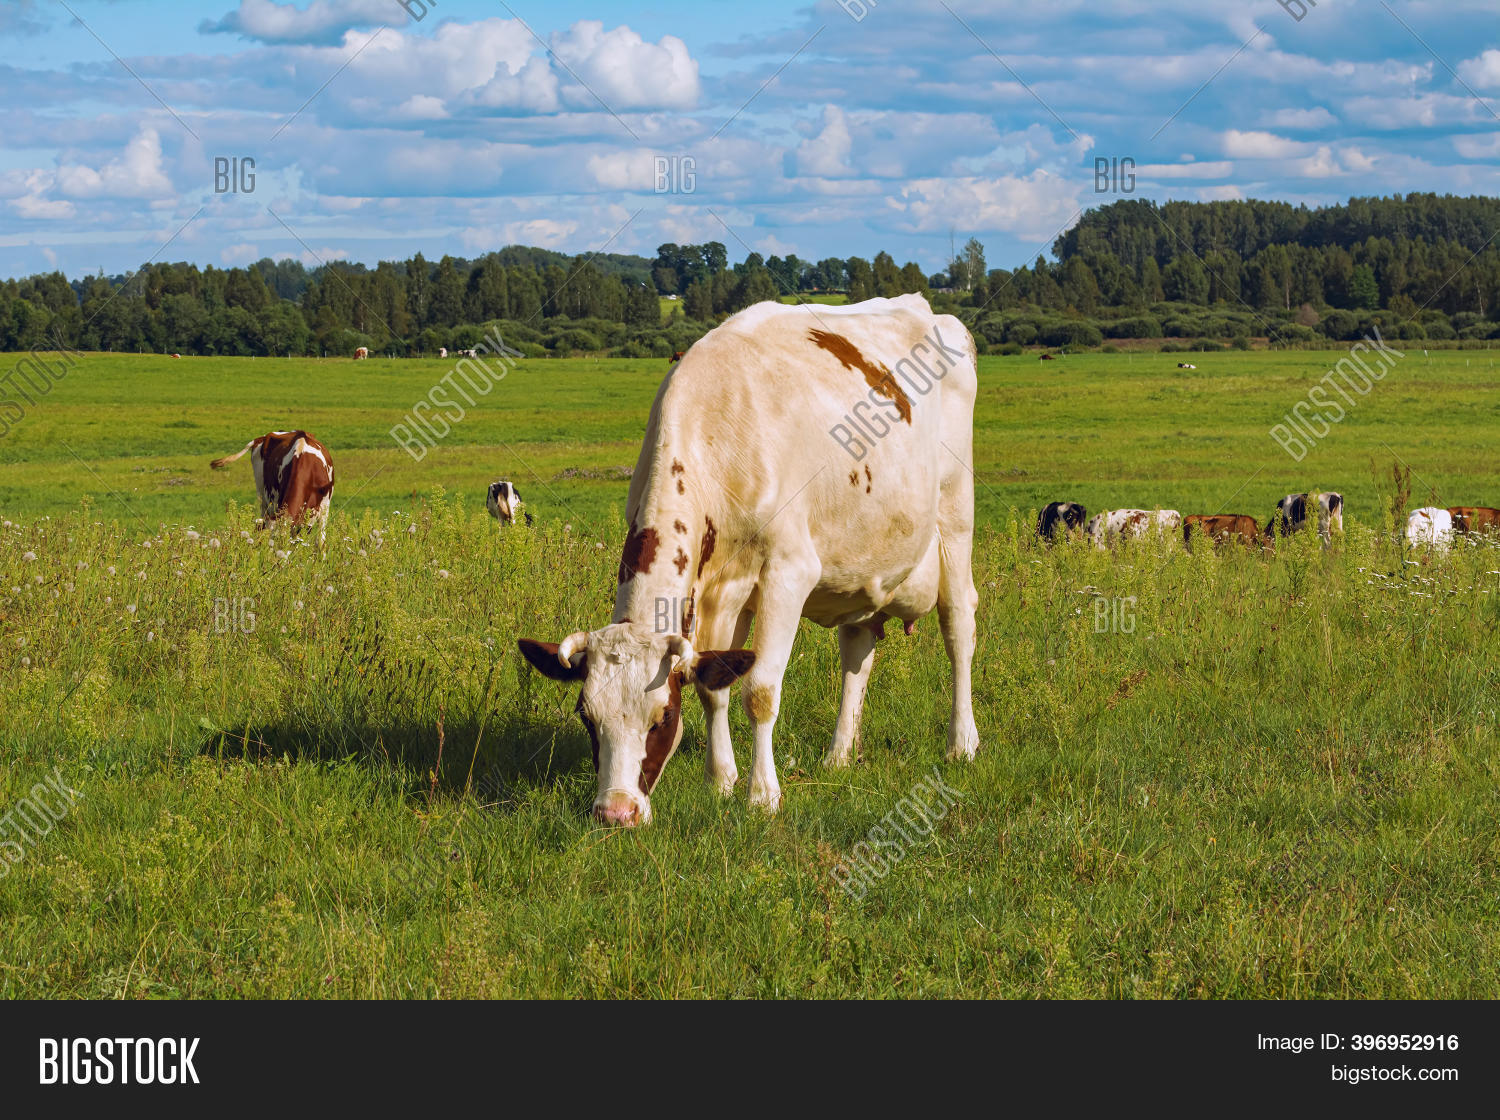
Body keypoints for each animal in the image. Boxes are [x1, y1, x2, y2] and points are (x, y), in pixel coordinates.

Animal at [518, 294, 980, 826]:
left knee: (958, 626)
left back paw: (961, 743)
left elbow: (759, 690)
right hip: (861, 561)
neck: (716, 429)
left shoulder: (788, 571)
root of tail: (926, 308)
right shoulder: (721, 588)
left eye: (662, 717)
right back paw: (839, 756)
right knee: (857, 650)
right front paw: (721, 781)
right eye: (587, 716)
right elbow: (712, 685)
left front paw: (762, 794)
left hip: (955, 518)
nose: (615, 813)